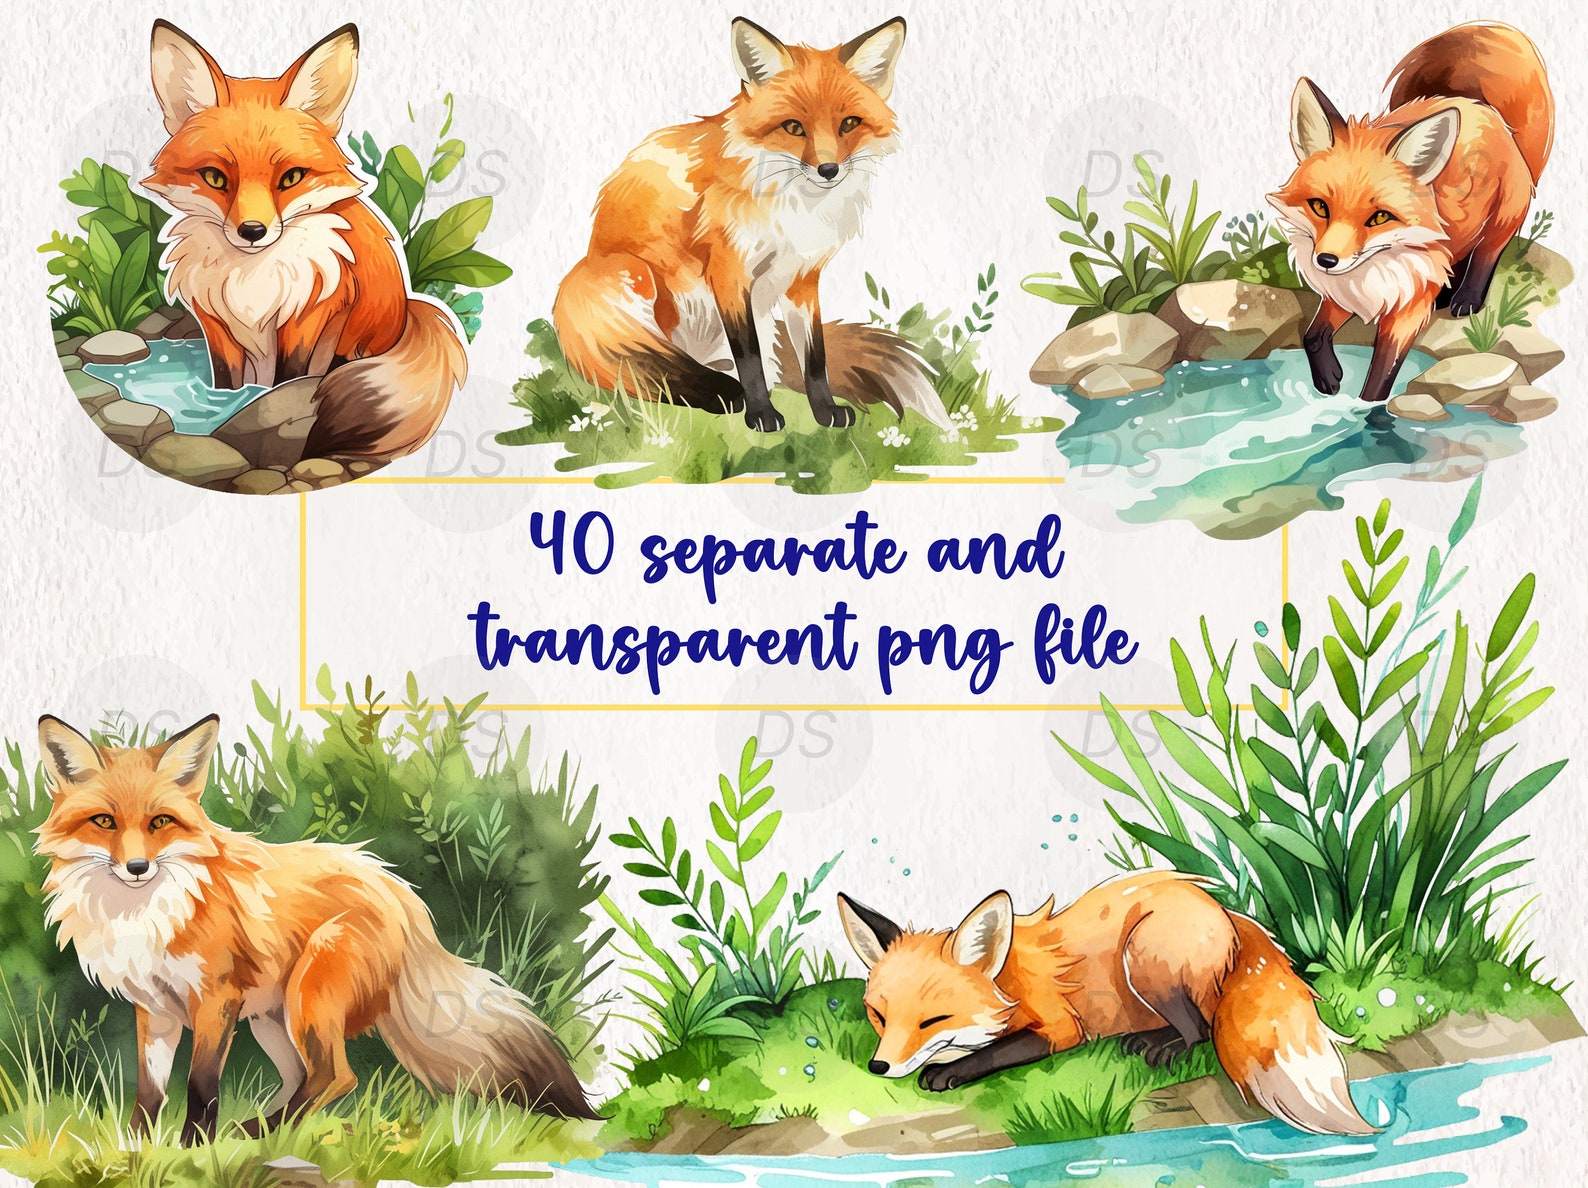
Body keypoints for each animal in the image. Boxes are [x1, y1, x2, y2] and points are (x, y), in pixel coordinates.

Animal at [33, 715, 598, 1146]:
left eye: (159, 823)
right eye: (104, 822)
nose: (137, 868)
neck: (142, 913)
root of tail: (399, 891)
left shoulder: (215, 1000)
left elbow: (201, 1086)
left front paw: (192, 1150)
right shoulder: (156, 1009)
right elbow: (150, 1093)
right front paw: (136, 1150)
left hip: (307, 996)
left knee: (336, 1075)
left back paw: (256, 1132)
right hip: (273, 1019)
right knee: (307, 1078)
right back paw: (265, 1130)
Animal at [143, 21, 467, 464]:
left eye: (291, 178)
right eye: (214, 178)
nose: (253, 231)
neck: (253, 280)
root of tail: (407, 310)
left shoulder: (307, 319)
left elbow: (287, 381)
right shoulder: (218, 328)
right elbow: (226, 387)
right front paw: (220, 409)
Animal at [553, 16, 948, 434]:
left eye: (849, 124)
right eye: (793, 127)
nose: (828, 170)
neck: (794, 208)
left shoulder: (803, 279)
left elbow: (815, 358)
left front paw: (825, 412)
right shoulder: (729, 273)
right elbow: (748, 356)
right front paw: (761, 415)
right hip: (631, 275)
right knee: (645, 373)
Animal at [838, 872, 1374, 1136]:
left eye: (934, 1020)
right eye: (878, 1016)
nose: (879, 1066)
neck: (1010, 980)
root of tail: (1226, 914)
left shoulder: (1060, 1027)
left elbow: (994, 1052)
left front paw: (948, 1071)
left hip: (1145, 957)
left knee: (1200, 1029)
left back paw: (1159, 1044)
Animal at [1269, 22, 1554, 405]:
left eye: (1379, 217)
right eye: (1320, 207)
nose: (1326, 260)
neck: (1380, 266)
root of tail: (1481, 106)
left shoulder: (1405, 313)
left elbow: (1377, 384)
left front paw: (1364, 414)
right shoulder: (1347, 290)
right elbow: (1312, 336)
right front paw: (1329, 377)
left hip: (1502, 219)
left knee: (1487, 253)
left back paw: (1466, 298)